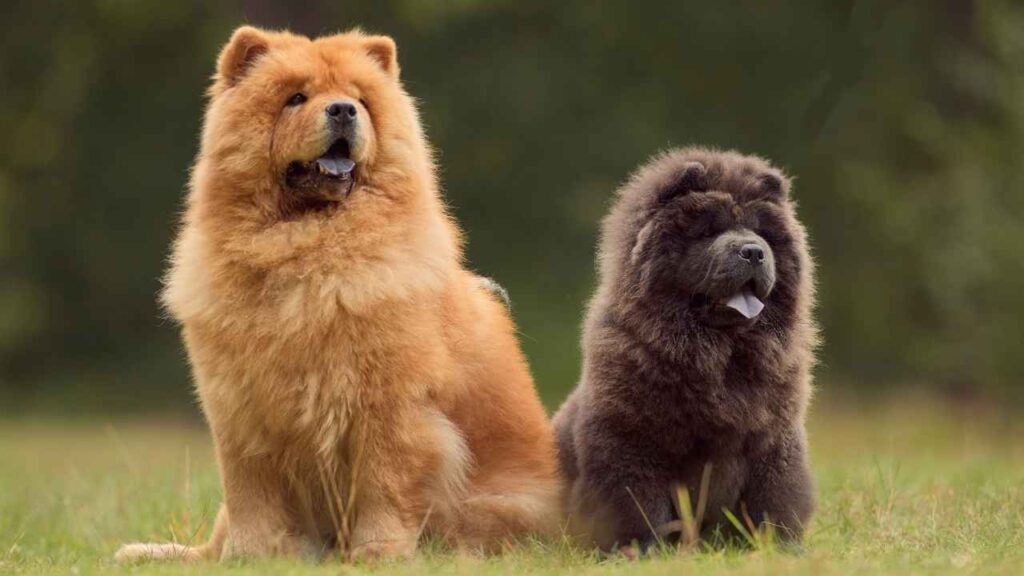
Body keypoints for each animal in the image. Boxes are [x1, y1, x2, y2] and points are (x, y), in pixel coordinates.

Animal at [115, 26, 561, 563]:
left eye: (361, 100)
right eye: (295, 98)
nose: (344, 110)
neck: (304, 249)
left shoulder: (386, 405)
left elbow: (383, 483)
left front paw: (379, 552)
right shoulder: (238, 408)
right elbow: (248, 492)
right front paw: (251, 556)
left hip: (498, 507)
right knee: (211, 539)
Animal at [553, 148, 818, 552]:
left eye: (761, 232)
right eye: (708, 232)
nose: (754, 252)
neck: (721, 358)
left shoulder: (773, 442)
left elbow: (775, 498)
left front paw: (781, 546)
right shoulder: (632, 441)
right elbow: (640, 503)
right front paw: (642, 549)